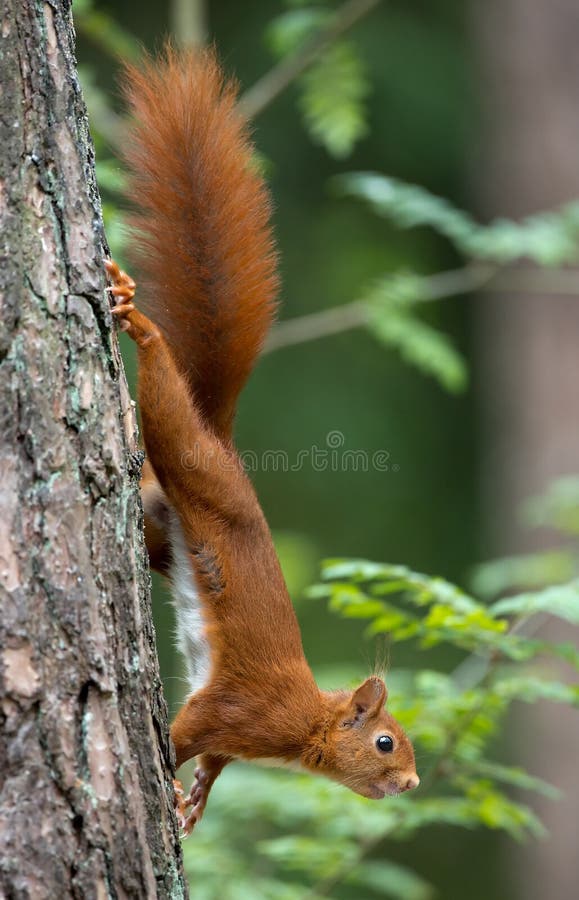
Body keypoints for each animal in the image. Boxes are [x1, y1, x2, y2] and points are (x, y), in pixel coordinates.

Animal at [106, 46, 418, 835]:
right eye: (384, 742)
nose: (411, 783)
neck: (303, 724)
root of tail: (221, 440)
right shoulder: (237, 709)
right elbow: (188, 732)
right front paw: (171, 776)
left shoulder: (235, 732)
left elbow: (214, 763)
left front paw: (197, 798)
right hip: (191, 459)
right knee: (166, 410)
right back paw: (141, 327)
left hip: (163, 525)